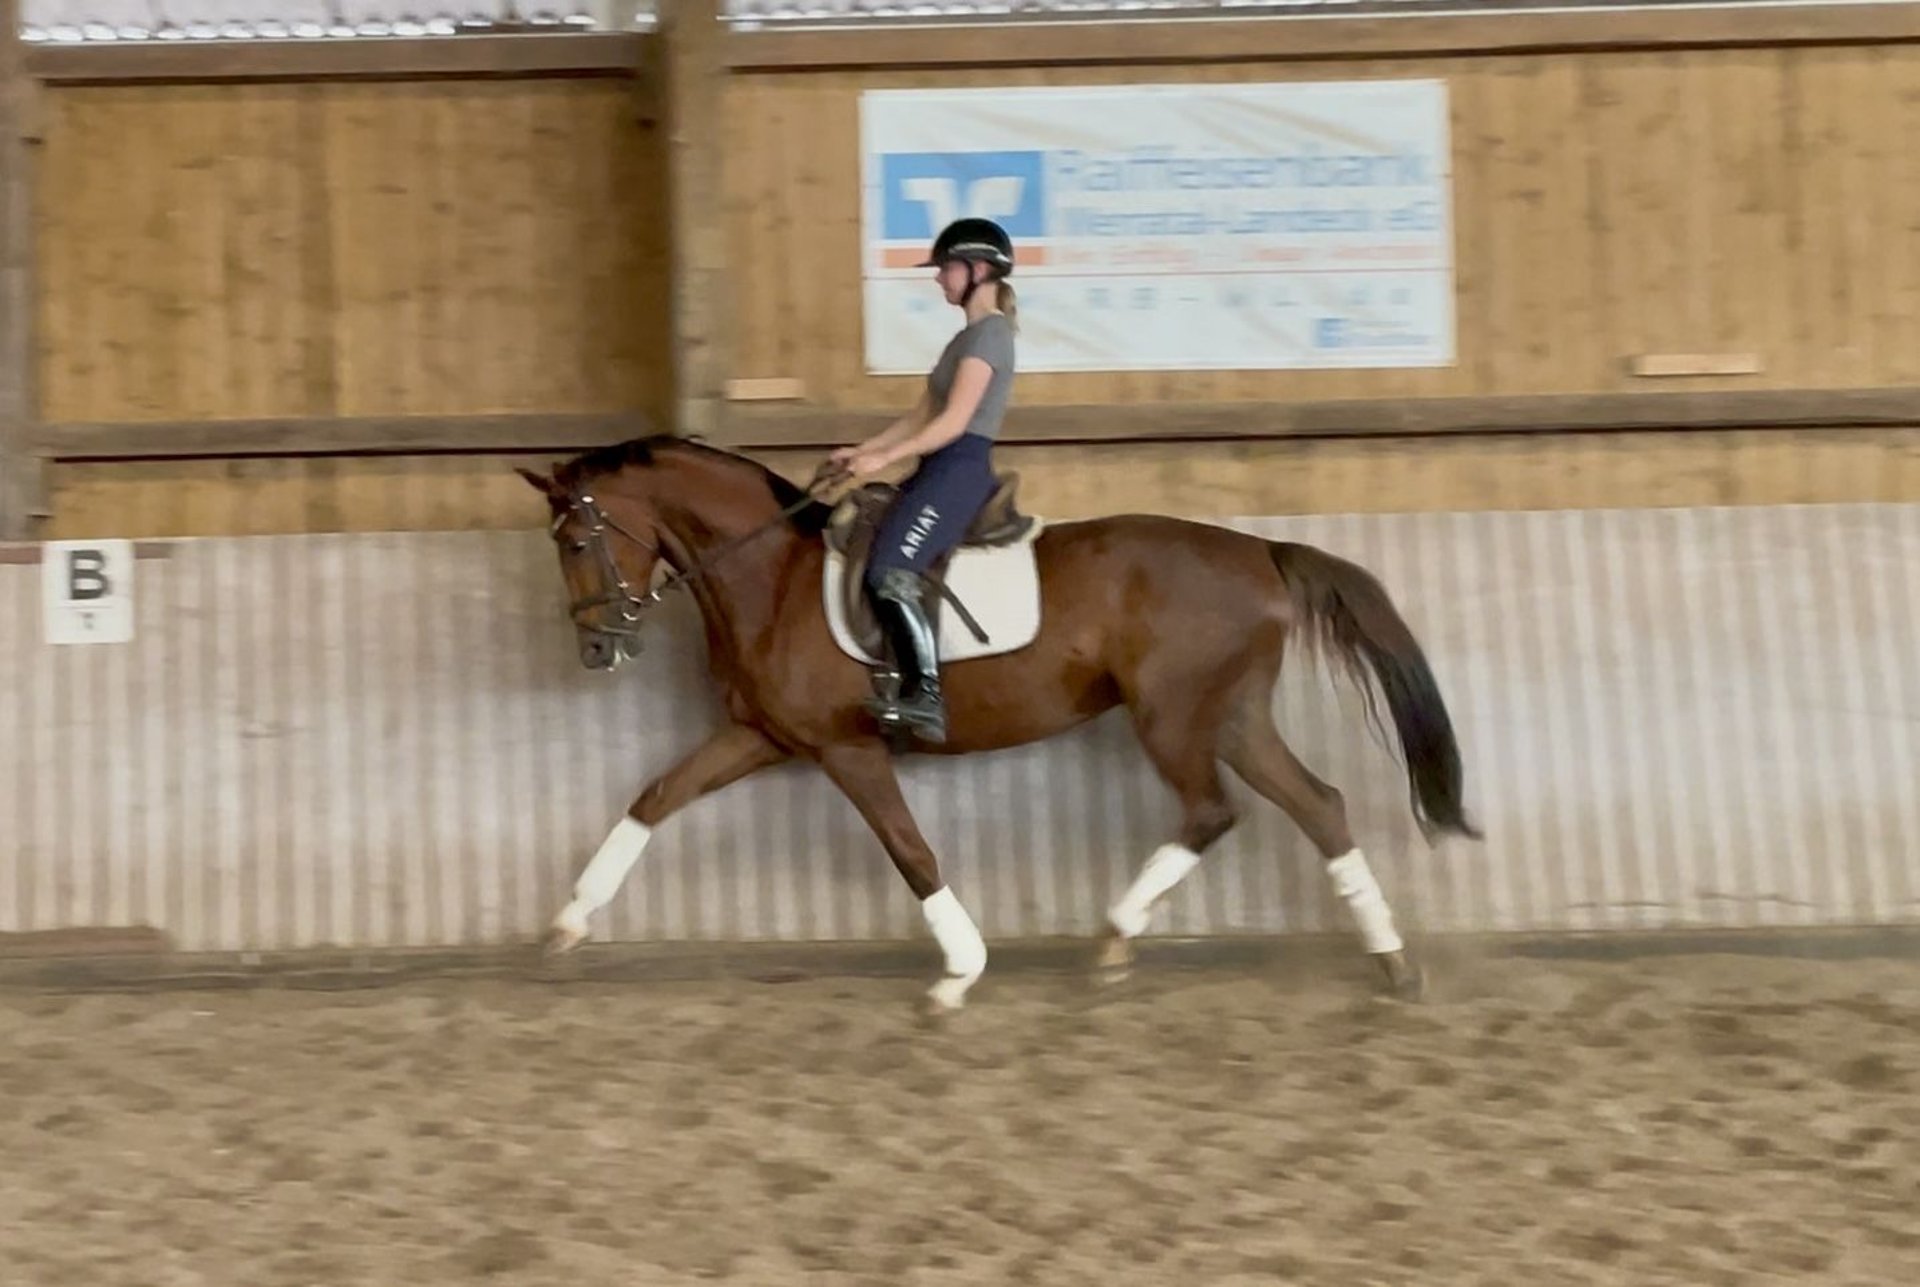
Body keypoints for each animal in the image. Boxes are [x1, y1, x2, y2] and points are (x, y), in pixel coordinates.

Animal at [515, 433, 1479, 1011]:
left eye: (574, 541)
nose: (598, 647)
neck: (772, 577)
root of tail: (1260, 551)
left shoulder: (845, 747)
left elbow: (910, 850)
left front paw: (959, 971)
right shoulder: (763, 735)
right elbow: (654, 797)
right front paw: (565, 925)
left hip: (1174, 713)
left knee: (1214, 811)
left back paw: (1114, 939)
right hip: (1233, 714)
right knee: (1317, 804)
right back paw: (1392, 959)